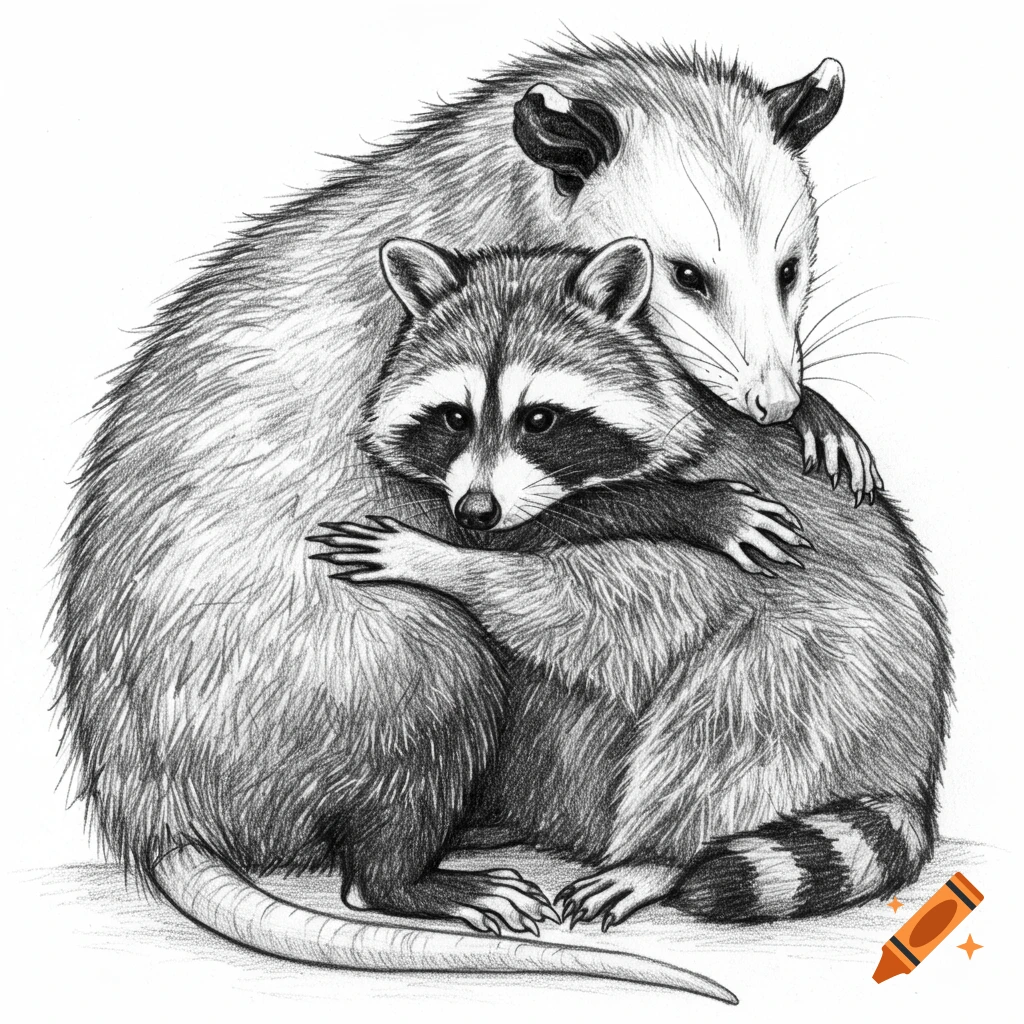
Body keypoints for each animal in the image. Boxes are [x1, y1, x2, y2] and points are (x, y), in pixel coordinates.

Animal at [320, 237, 951, 927]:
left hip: (827, 684)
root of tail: (908, 770)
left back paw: (657, 856)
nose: (474, 513)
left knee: (730, 717)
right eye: (454, 417)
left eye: (539, 419)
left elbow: (583, 613)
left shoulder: (709, 559)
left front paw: (442, 560)